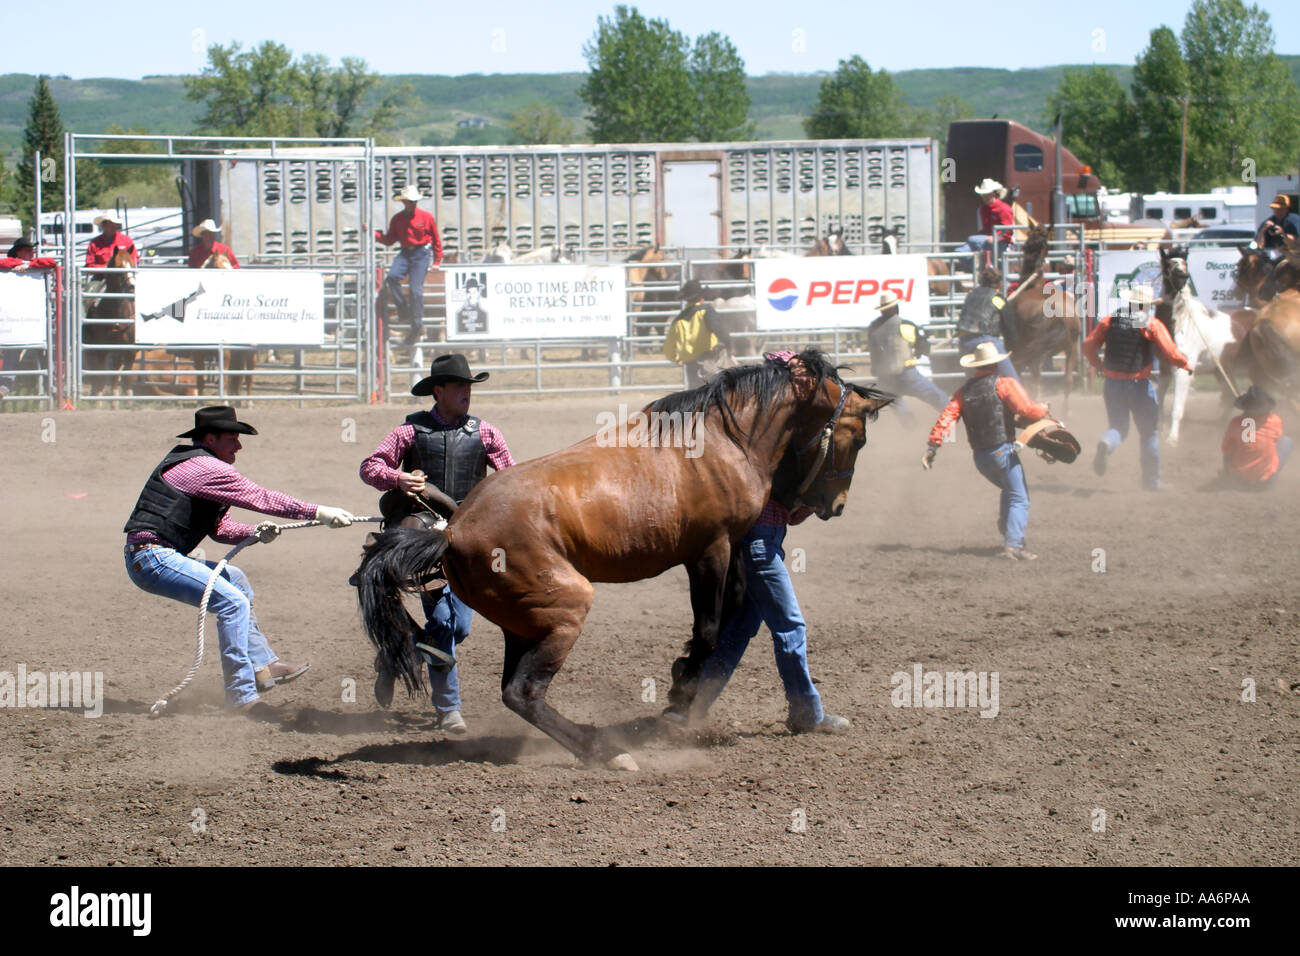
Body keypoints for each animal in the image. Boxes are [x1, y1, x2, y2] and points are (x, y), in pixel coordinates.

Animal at [83, 247, 138, 398]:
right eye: (119, 267)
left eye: (133, 265)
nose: (132, 287)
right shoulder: (102, 349)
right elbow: (101, 376)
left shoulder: (130, 350)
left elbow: (127, 377)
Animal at [353, 350, 892, 770]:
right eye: (859, 437)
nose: (835, 506)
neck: (724, 439)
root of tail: (453, 530)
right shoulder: (710, 550)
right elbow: (710, 628)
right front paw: (680, 689)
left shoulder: (732, 547)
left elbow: (734, 612)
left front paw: (683, 684)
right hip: (566, 608)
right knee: (523, 692)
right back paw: (605, 751)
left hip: (524, 622)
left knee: (514, 689)